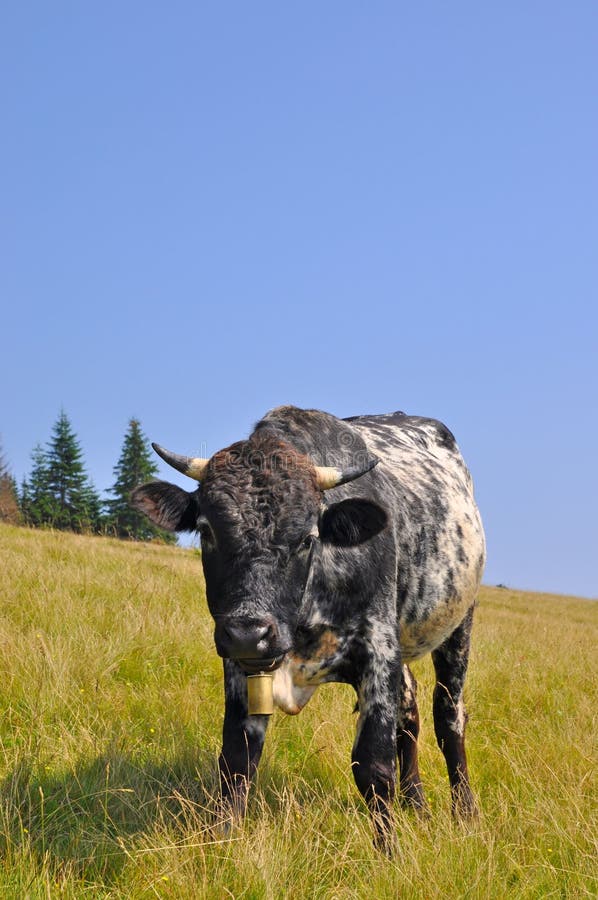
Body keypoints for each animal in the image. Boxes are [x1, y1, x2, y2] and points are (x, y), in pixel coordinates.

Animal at [131, 406, 485, 852]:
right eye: (208, 531)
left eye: (306, 538)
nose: (249, 632)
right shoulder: (241, 665)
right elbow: (237, 758)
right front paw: (223, 842)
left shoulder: (377, 646)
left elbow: (373, 765)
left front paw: (389, 852)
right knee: (410, 710)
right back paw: (416, 803)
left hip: (459, 624)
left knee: (448, 716)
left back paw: (465, 812)